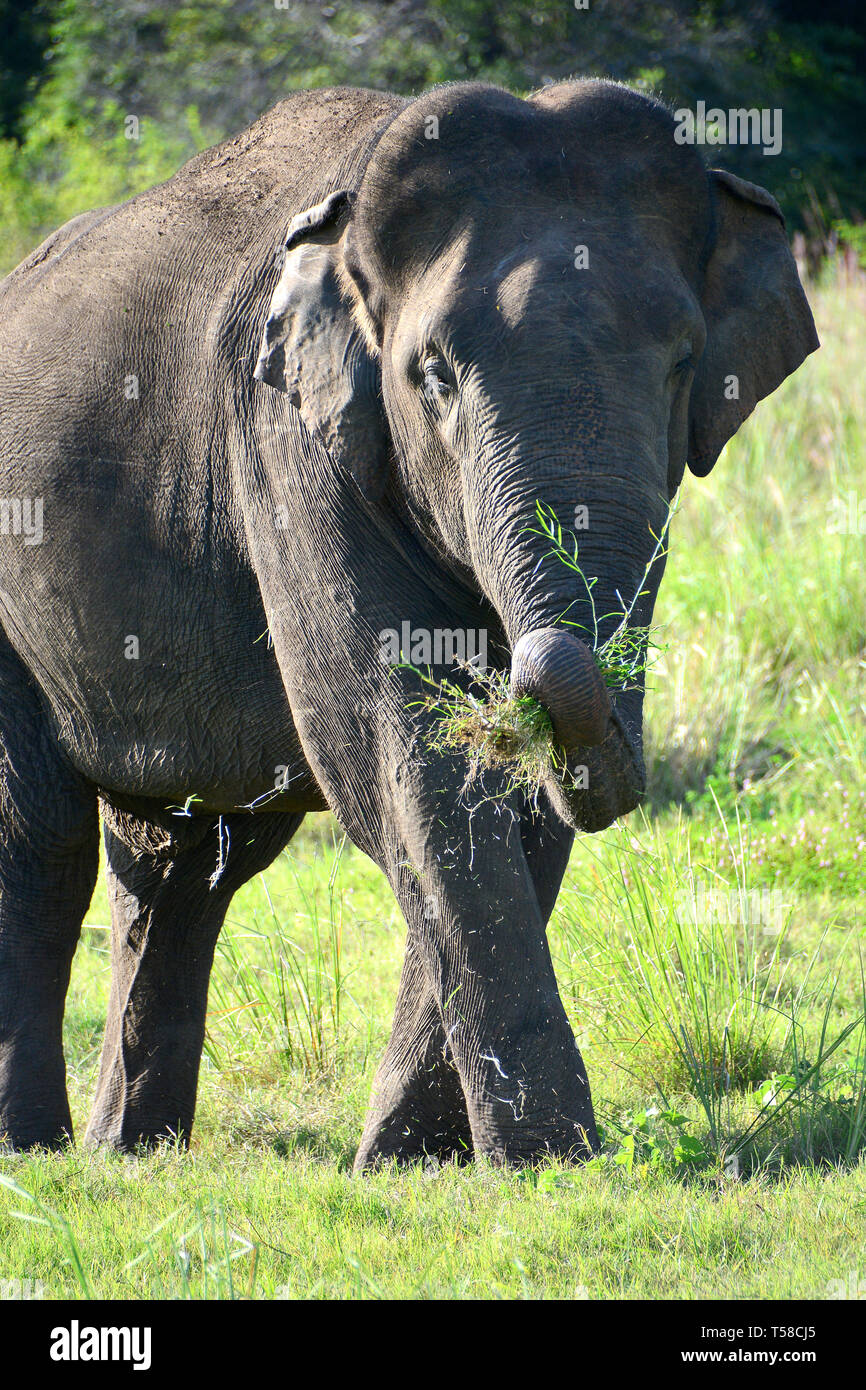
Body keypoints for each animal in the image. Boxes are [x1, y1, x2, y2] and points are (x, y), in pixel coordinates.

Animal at [0, 79, 818, 1166]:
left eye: (684, 364)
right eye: (433, 376)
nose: (525, 657)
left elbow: (510, 800)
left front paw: (408, 1161)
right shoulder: (286, 445)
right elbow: (402, 756)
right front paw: (543, 1161)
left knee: (182, 863)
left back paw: (127, 1150)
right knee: (40, 846)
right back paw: (34, 1148)